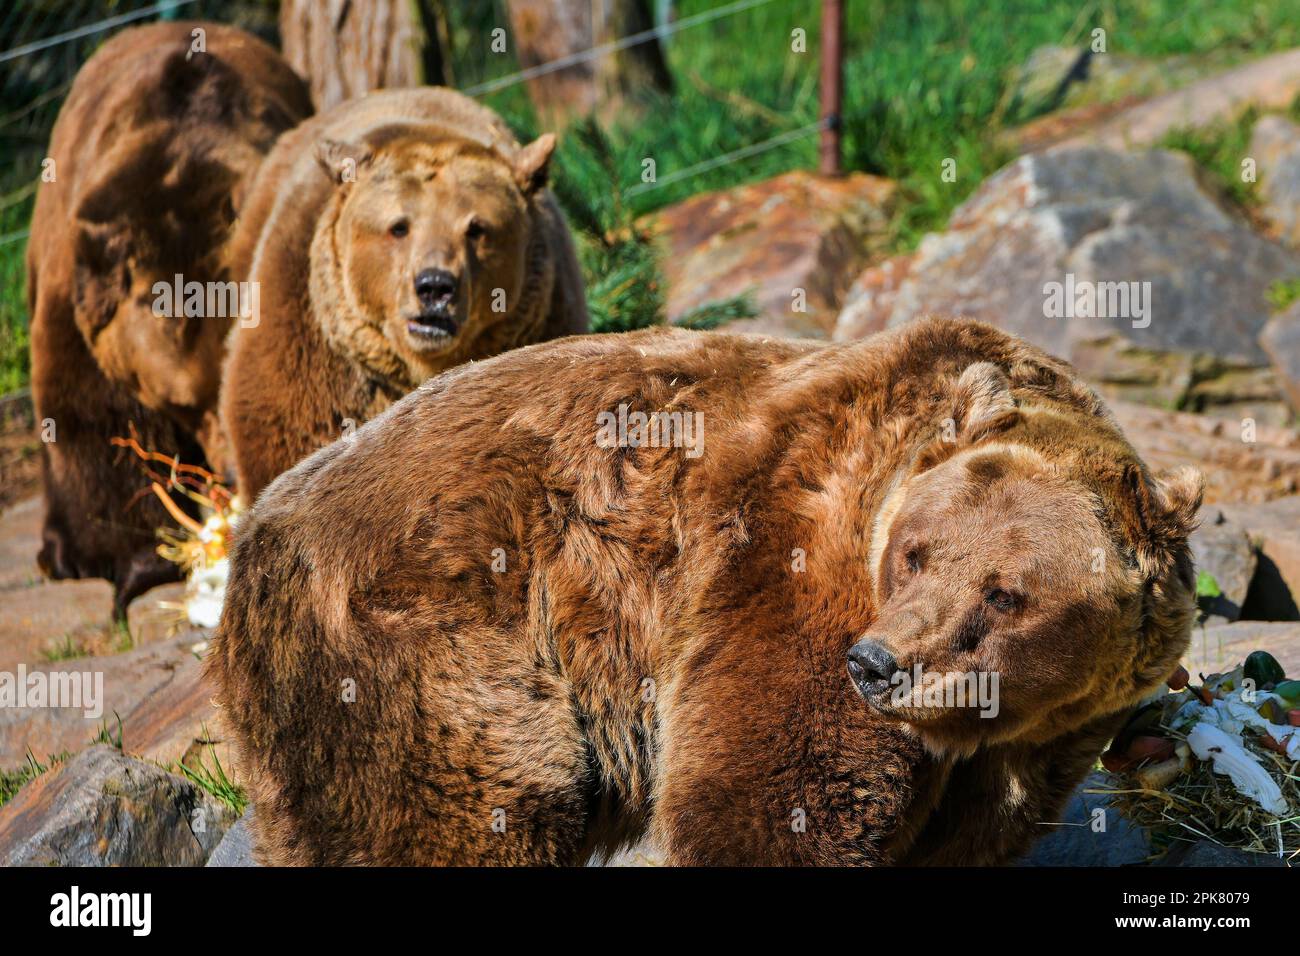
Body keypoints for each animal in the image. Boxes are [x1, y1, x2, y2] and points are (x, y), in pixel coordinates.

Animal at [209, 317, 1199, 865]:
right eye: (916, 553)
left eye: (1004, 593)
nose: (880, 664)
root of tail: (251, 532)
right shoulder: (792, 561)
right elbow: (771, 800)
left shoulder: (1043, 740)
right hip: (417, 646)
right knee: (448, 817)